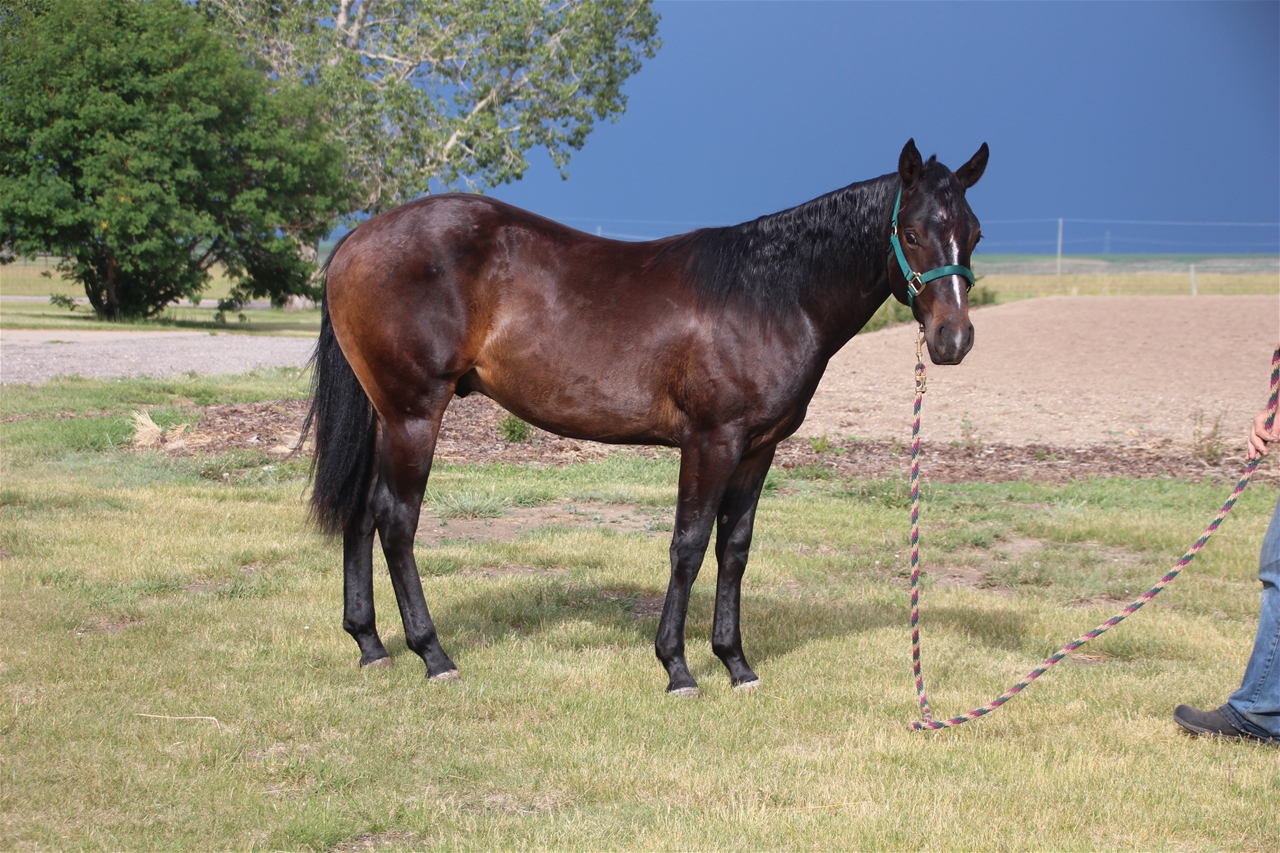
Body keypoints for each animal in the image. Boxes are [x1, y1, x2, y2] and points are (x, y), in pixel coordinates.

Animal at [303, 138, 987, 695]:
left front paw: (736, 663)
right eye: (915, 232)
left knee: (362, 513)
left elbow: (734, 548)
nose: (953, 340)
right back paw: (433, 655)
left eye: (975, 233)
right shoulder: (711, 441)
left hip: (385, 416)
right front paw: (678, 669)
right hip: (414, 413)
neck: (769, 295)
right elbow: (689, 544)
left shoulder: (758, 448)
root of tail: (356, 240)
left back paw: (371, 645)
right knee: (395, 520)